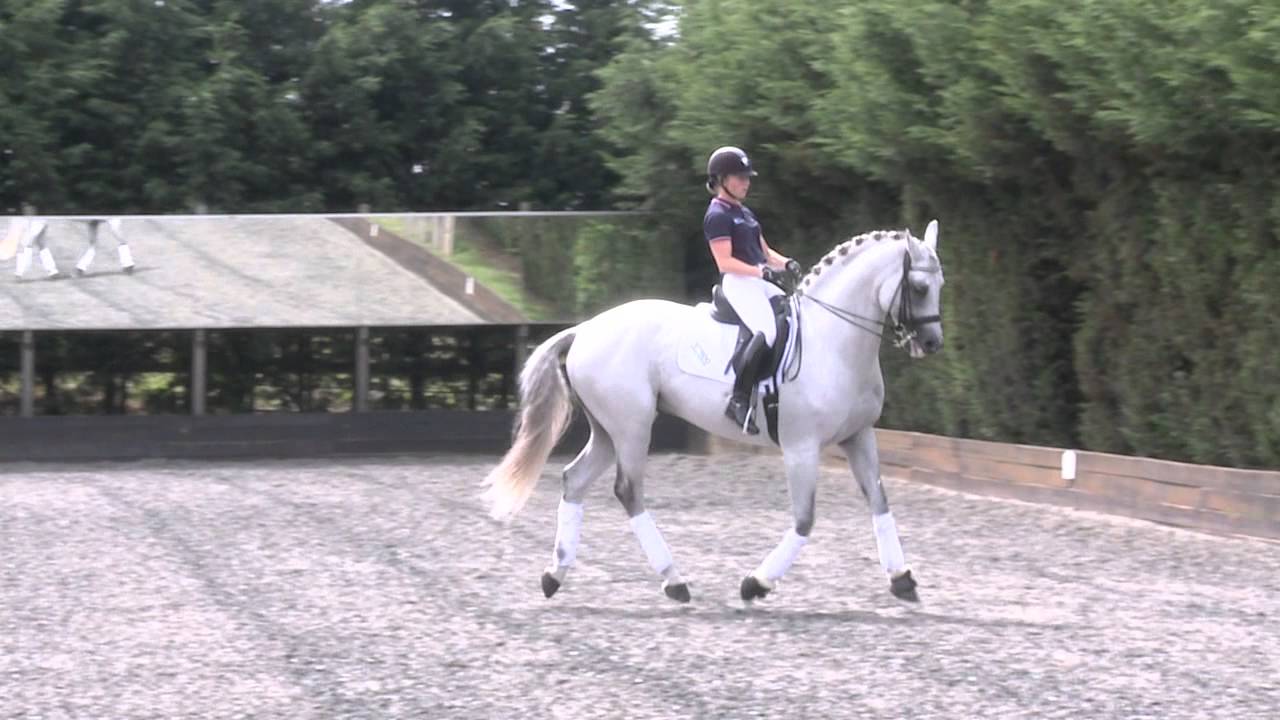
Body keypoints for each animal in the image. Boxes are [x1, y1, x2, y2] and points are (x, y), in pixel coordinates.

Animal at [482, 220, 945, 605]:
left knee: (574, 480)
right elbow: (805, 519)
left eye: (941, 284)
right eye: (920, 288)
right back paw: (674, 581)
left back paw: (555, 575)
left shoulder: (859, 435)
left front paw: (903, 579)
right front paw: (755, 583)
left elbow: (879, 501)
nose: (932, 344)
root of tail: (585, 329)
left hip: (608, 431)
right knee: (628, 491)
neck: (831, 342)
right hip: (633, 427)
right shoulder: (801, 446)